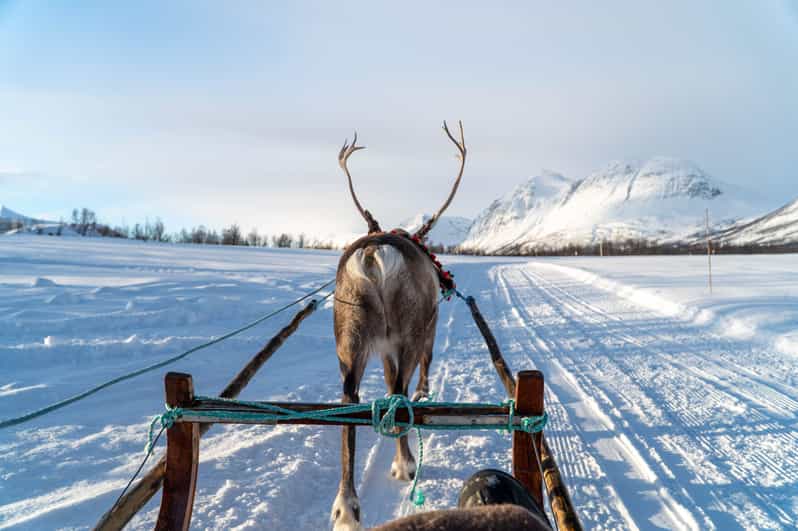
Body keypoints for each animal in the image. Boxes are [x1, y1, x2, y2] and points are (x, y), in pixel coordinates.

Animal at [331, 122, 467, 531]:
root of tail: (374, 251)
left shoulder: (384, 349)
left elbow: (389, 382)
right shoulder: (422, 332)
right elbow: (419, 371)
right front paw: (425, 391)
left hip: (350, 336)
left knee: (351, 400)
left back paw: (347, 505)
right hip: (409, 331)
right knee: (399, 396)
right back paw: (404, 464)